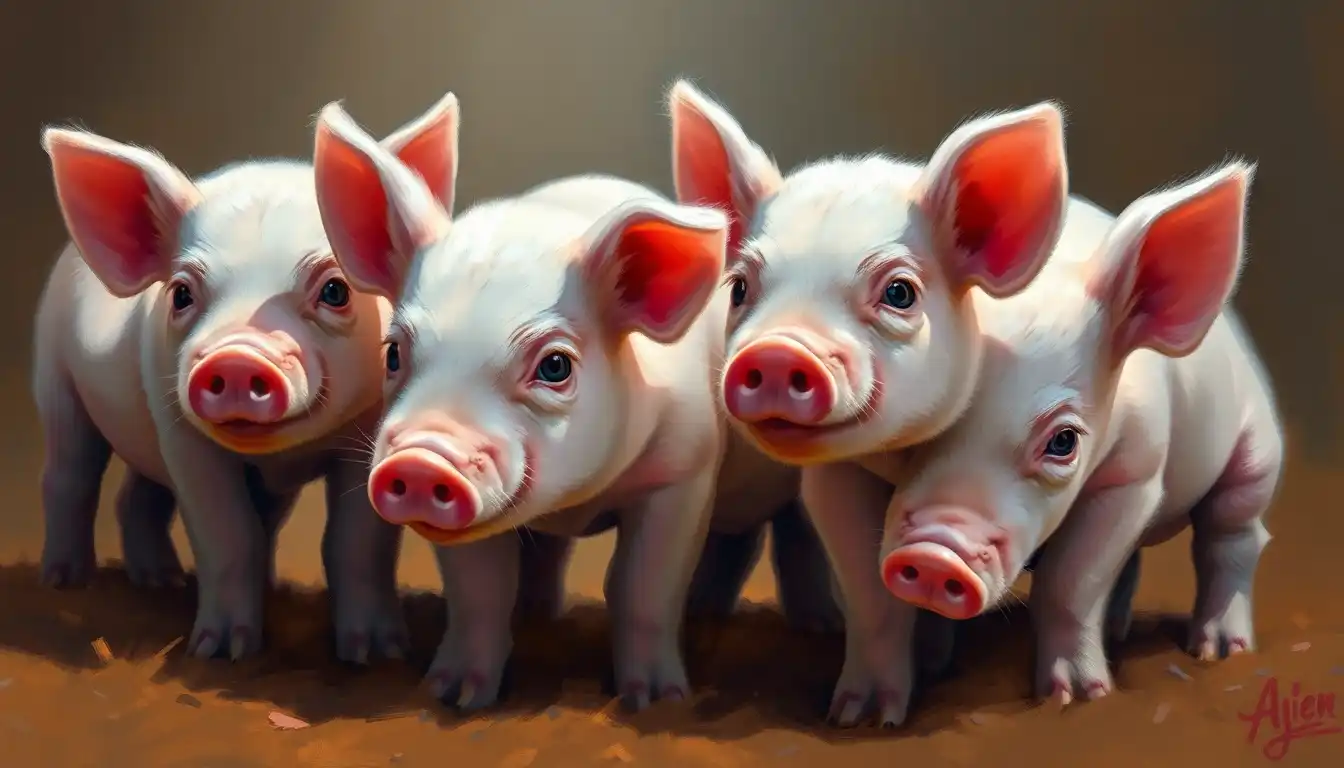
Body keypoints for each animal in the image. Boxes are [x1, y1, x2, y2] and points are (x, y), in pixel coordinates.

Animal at [30, 100, 465, 661]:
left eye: (335, 290)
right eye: (181, 293)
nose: (237, 357)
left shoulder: (365, 435)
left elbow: (354, 542)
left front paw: (375, 655)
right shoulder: (181, 434)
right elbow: (227, 534)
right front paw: (221, 653)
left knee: (140, 496)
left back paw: (164, 581)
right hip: (54, 376)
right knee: (70, 473)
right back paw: (66, 581)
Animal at [309, 98, 734, 712]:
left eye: (555, 366)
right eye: (392, 352)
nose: (422, 459)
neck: (577, 500)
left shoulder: (684, 472)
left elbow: (642, 588)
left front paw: (655, 701)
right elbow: (482, 591)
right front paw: (453, 696)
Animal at [860, 161, 1279, 708]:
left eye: (1063, 442)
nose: (935, 554)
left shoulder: (1135, 475)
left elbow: (1071, 582)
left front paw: (1077, 699)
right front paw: (895, 696)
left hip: (1258, 449)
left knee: (1233, 534)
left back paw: (1220, 652)